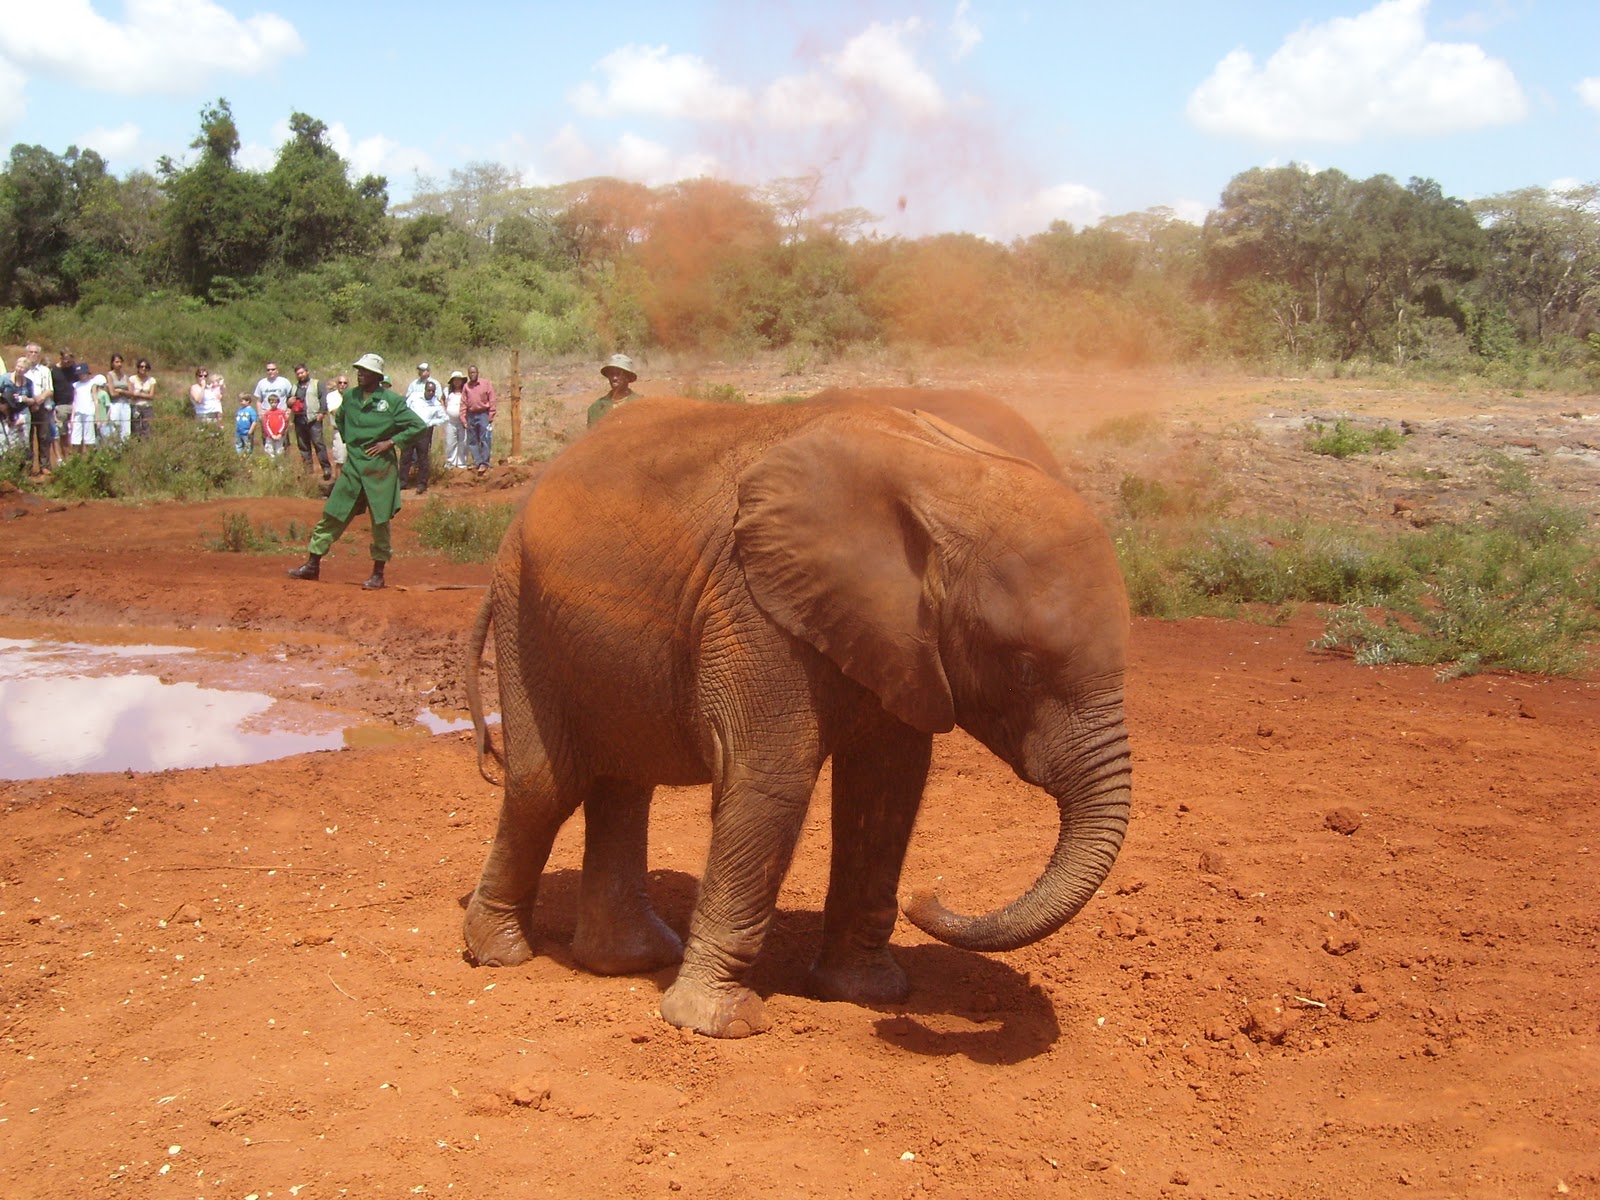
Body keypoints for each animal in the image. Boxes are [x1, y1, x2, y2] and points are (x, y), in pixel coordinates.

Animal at [462, 395, 1131, 1038]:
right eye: (1023, 667)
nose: (928, 898)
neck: (947, 476)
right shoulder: (754, 607)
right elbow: (771, 784)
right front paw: (721, 1025)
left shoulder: (894, 637)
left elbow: (887, 786)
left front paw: (866, 993)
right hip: (524, 608)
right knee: (545, 785)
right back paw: (497, 956)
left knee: (622, 784)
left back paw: (628, 960)